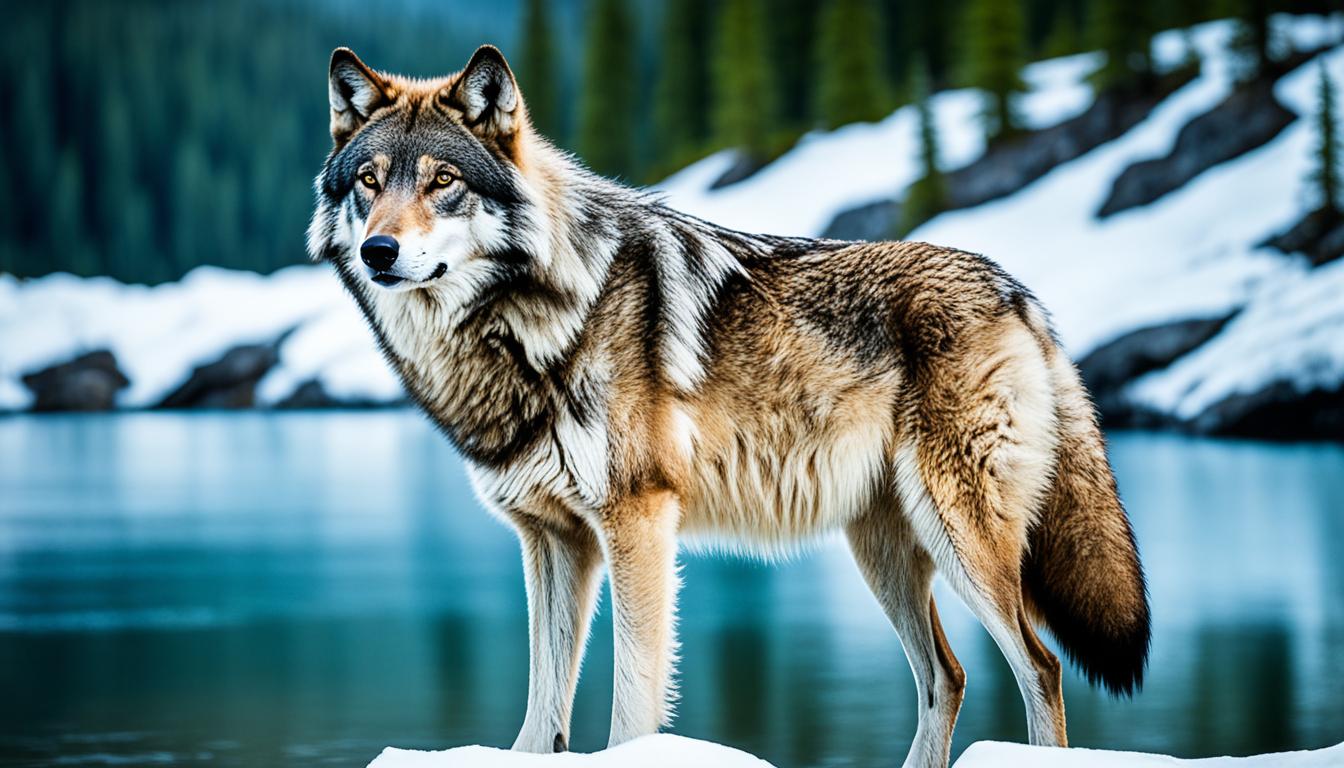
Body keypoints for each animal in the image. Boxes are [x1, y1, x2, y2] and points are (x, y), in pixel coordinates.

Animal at [307, 45, 1150, 767]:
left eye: (443, 181)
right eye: (370, 183)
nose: (380, 251)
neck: (535, 320)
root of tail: (1016, 289)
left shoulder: (636, 522)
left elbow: (630, 709)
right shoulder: (551, 540)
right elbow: (540, 718)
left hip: (961, 539)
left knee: (1039, 667)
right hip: (883, 550)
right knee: (947, 677)